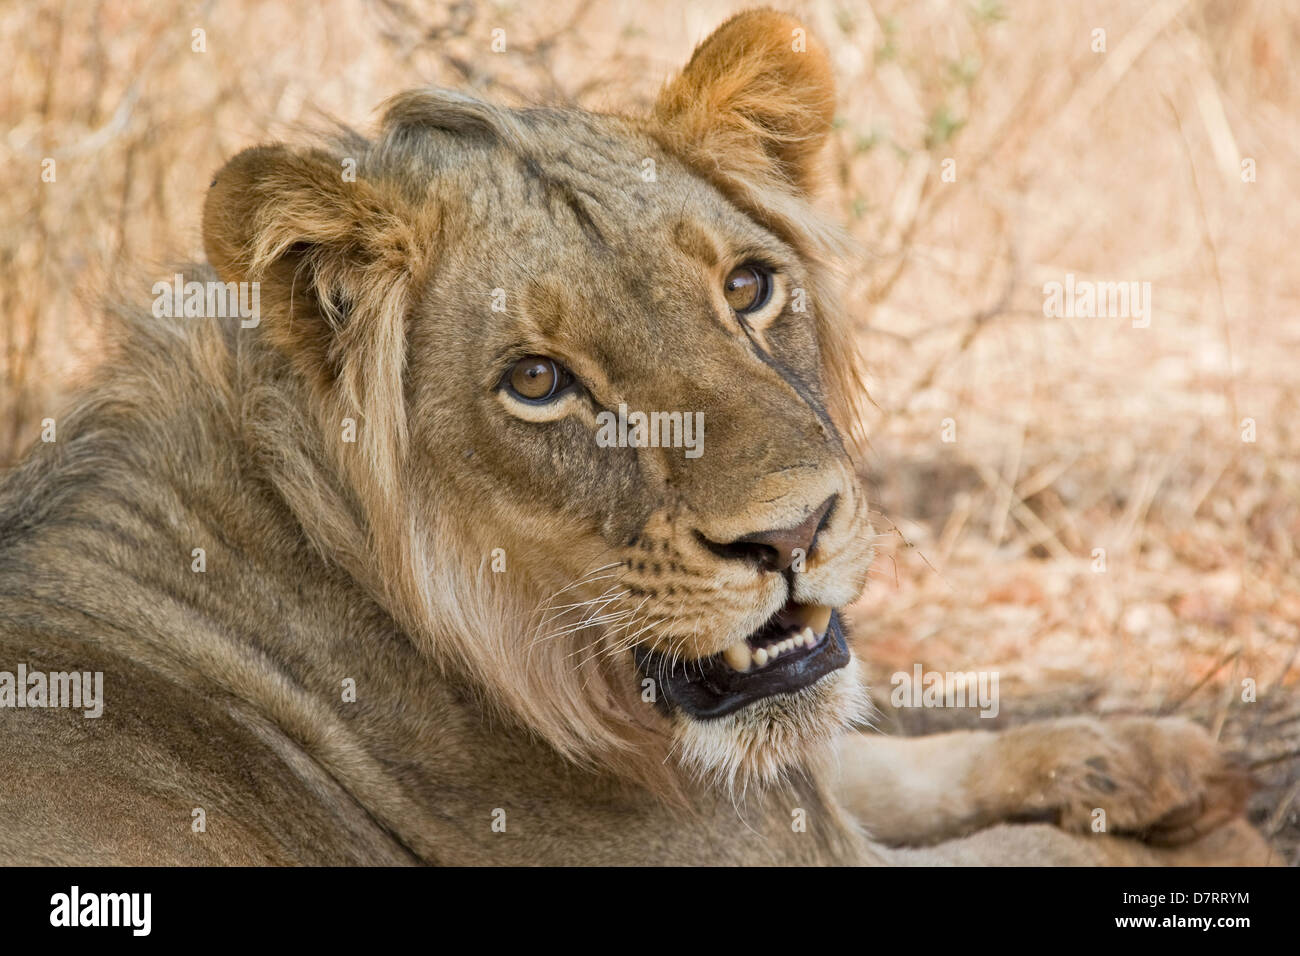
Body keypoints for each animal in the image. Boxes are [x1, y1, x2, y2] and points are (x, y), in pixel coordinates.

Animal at [0, 9, 1273, 865]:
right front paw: (1196, 824)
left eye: (750, 287)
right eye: (537, 381)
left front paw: (1148, 757)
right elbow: (1047, 847)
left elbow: (869, 744)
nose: (793, 534)